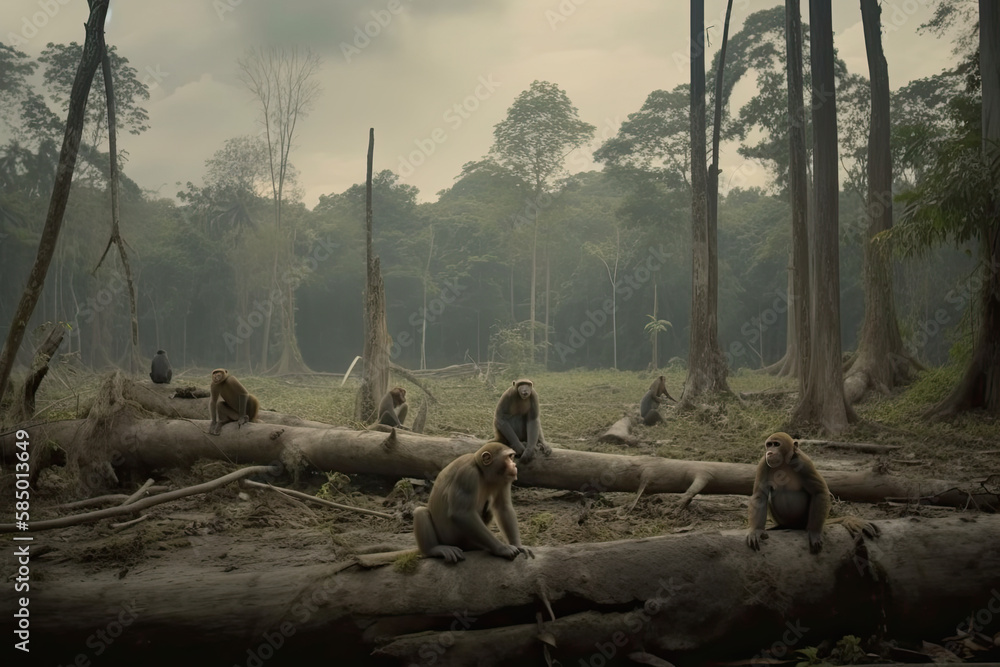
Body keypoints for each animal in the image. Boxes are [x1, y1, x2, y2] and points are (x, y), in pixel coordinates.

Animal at [746, 432, 879, 554]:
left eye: (776, 444)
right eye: (769, 445)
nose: (770, 452)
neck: (784, 463)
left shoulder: (804, 462)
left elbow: (819, 492)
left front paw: (814, 532)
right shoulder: (764, 463)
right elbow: (760, 496)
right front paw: (756, 530)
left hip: (805, 520)